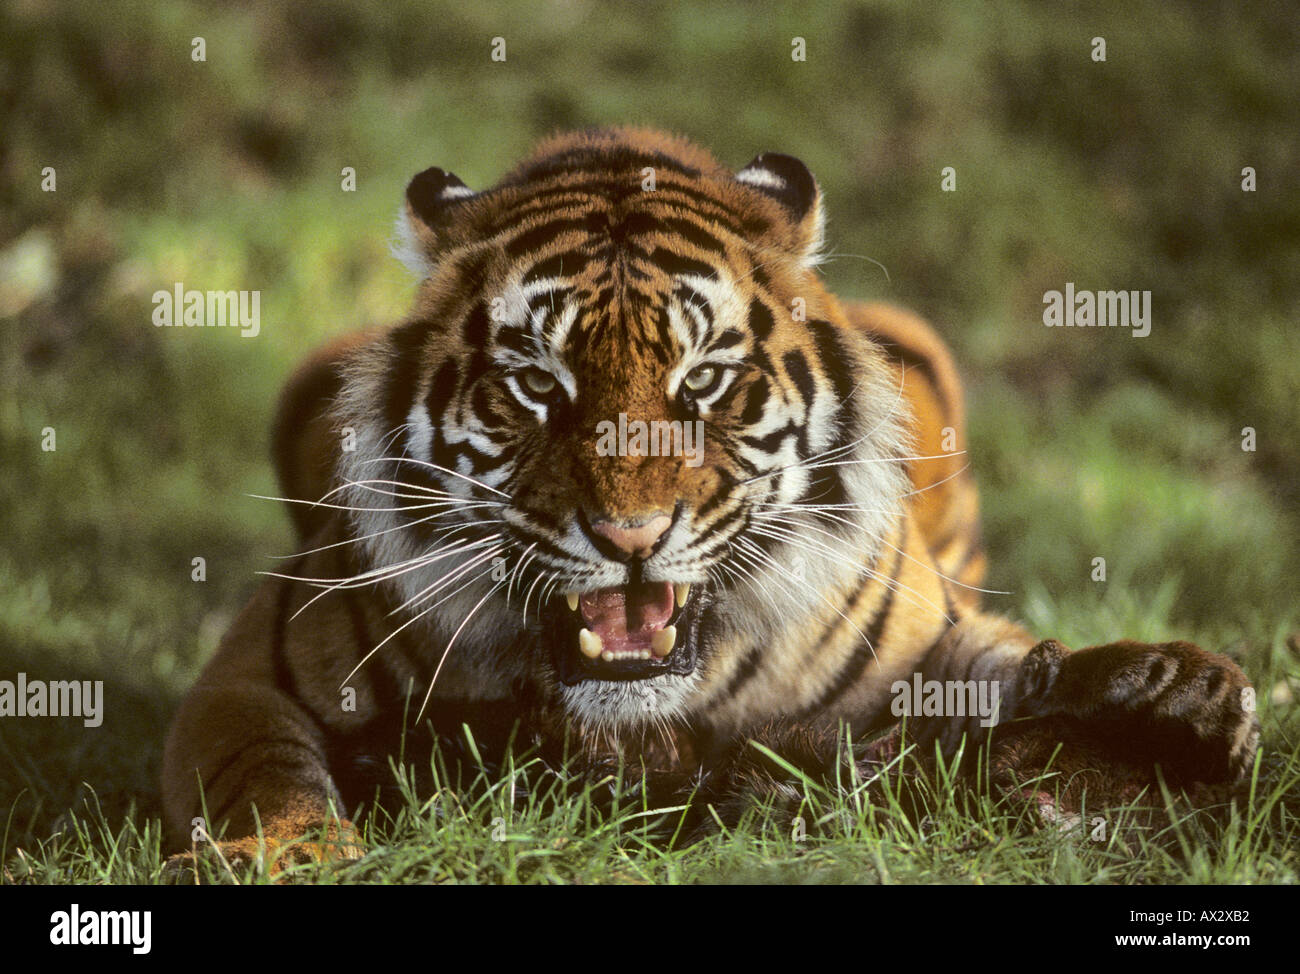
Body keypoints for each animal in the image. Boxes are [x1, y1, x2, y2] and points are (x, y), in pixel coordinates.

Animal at [161, 127, 1259, 866]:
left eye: (703, 382)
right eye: (538, 386)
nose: (630, 535)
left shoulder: (924, 643)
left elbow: (1008, 664)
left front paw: (1163, 693)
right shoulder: (256, 670)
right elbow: (262, 774)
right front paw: (296, 860)